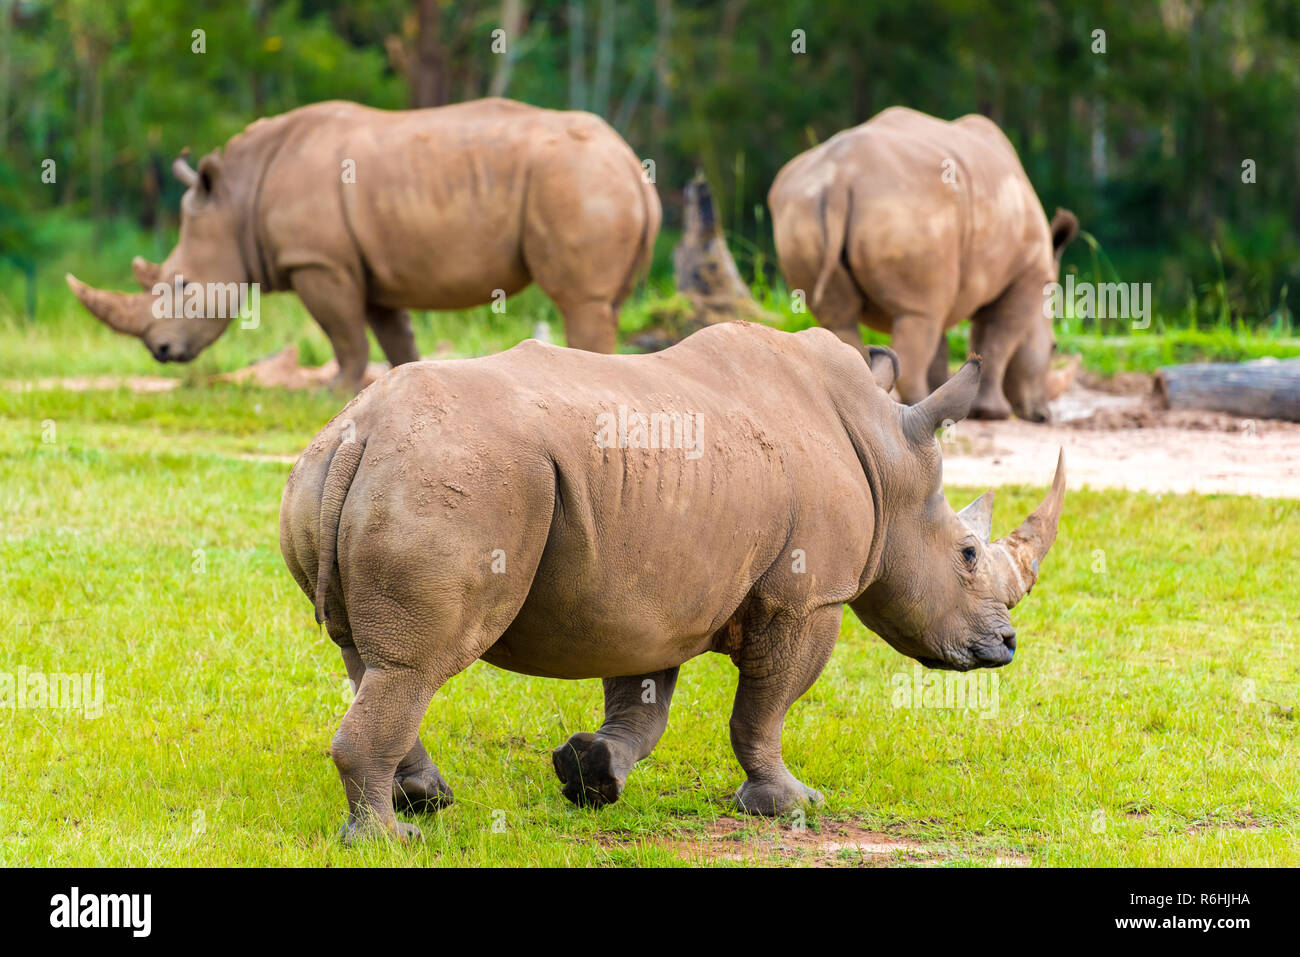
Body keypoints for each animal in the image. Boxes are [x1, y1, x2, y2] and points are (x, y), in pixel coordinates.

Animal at [66, 98, 661, 392]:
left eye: (182, 284)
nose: (160, 352)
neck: (237, 201)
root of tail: (631, 162)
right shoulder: (368, 268)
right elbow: (392, 336)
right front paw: (395, 387)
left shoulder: (319, 262)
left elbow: (343, 333)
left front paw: (331, 390)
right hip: (595, 179)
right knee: (607, 302)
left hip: (576, 180)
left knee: (580, 300)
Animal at [279, 320, 1065, 842]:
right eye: (968, 553)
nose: (1006, 645)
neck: (886, 455)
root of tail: (361, 429)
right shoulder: (806, 597)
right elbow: (766, 707)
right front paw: (790, 803)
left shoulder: (647, 591)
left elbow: (642, 707)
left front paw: (592, 773)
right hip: (460, 477)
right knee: (416, 664)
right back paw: (390, 838)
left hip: (349, 472)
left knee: (371, 658)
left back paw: (426, 799)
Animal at [769, 106, 1080, 421]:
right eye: (1054, 347)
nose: (1043, 414)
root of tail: (841, 175)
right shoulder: (1027, 276)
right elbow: (998, 338)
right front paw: (993, 413)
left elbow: (943, 343)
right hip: (910, 202)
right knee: (917, 319)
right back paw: (916, 404)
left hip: (806, 206)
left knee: (848, 319)